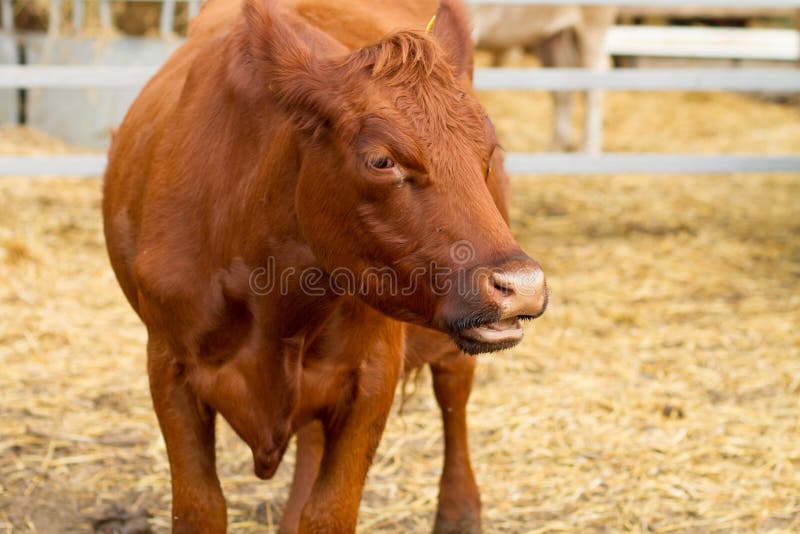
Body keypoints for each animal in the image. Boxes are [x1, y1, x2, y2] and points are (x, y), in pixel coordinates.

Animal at [102, 0, 547, 532]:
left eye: (489, 153)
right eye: (381, 160)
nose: (522, 284)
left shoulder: (372, 378)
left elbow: (331, 511)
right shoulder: (168, 366)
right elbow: (200, 506)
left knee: (453, 396)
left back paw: (459, 513)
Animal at [470, 5, 618, 153]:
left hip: (594, 23)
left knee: (594, 85)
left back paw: (588, 149)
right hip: (553, 40)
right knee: (562, 89)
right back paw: (556, 147)